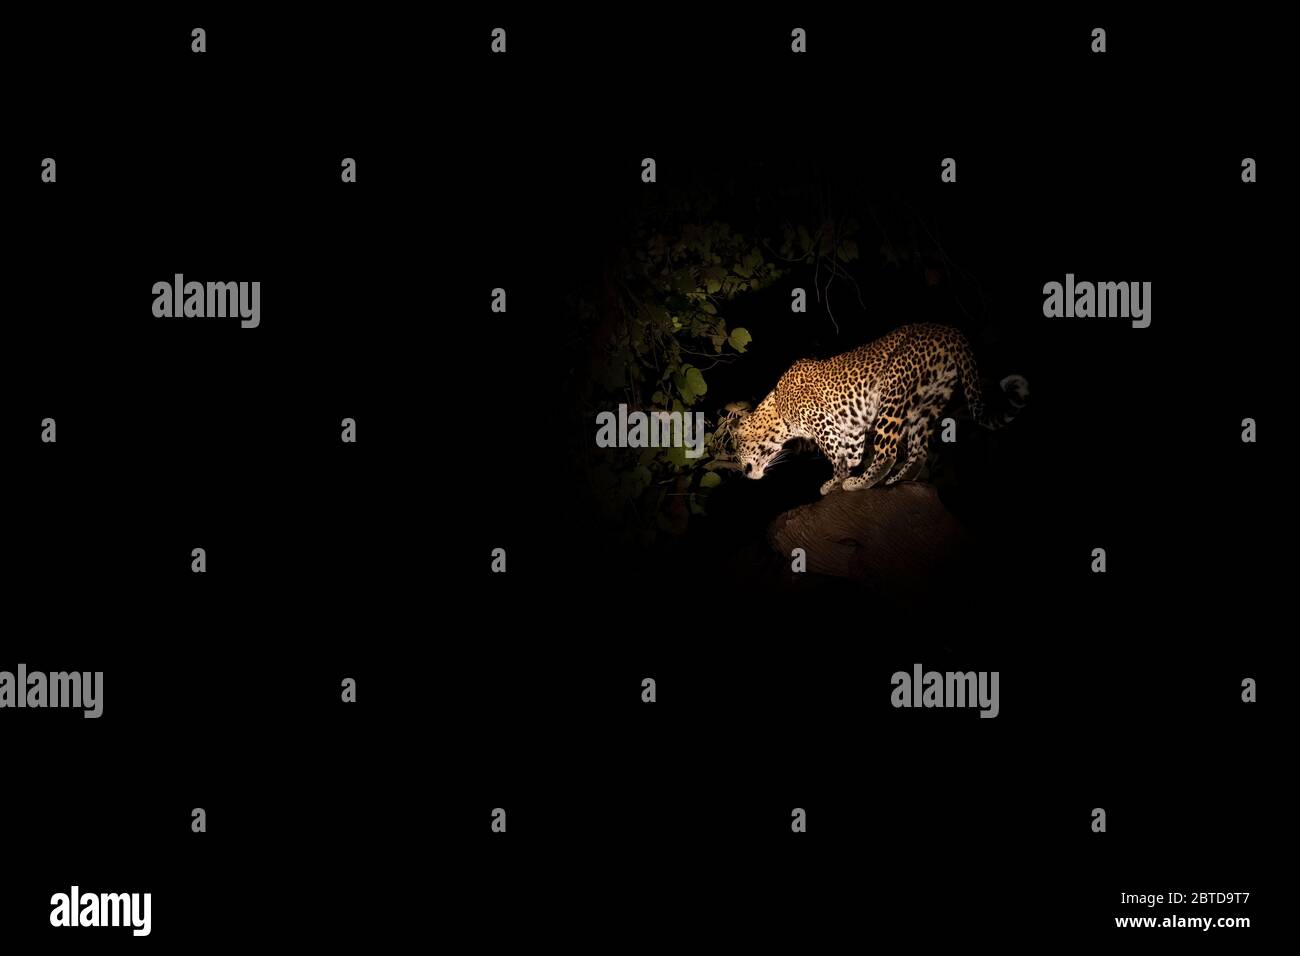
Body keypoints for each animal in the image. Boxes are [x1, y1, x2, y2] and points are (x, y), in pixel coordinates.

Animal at [732, 323, 1028, 494]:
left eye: (737, 449)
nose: (744, 472)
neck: (778, 414)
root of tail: (947, 329)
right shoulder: (851, 428)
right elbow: (850, 456)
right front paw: (845, 474)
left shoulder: (822, 422)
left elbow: (837, 457)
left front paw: (834, 483)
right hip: (928, 402)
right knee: (918, 451)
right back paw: (895, 481)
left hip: (893, 390)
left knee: (887, 452)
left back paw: (861, 482)